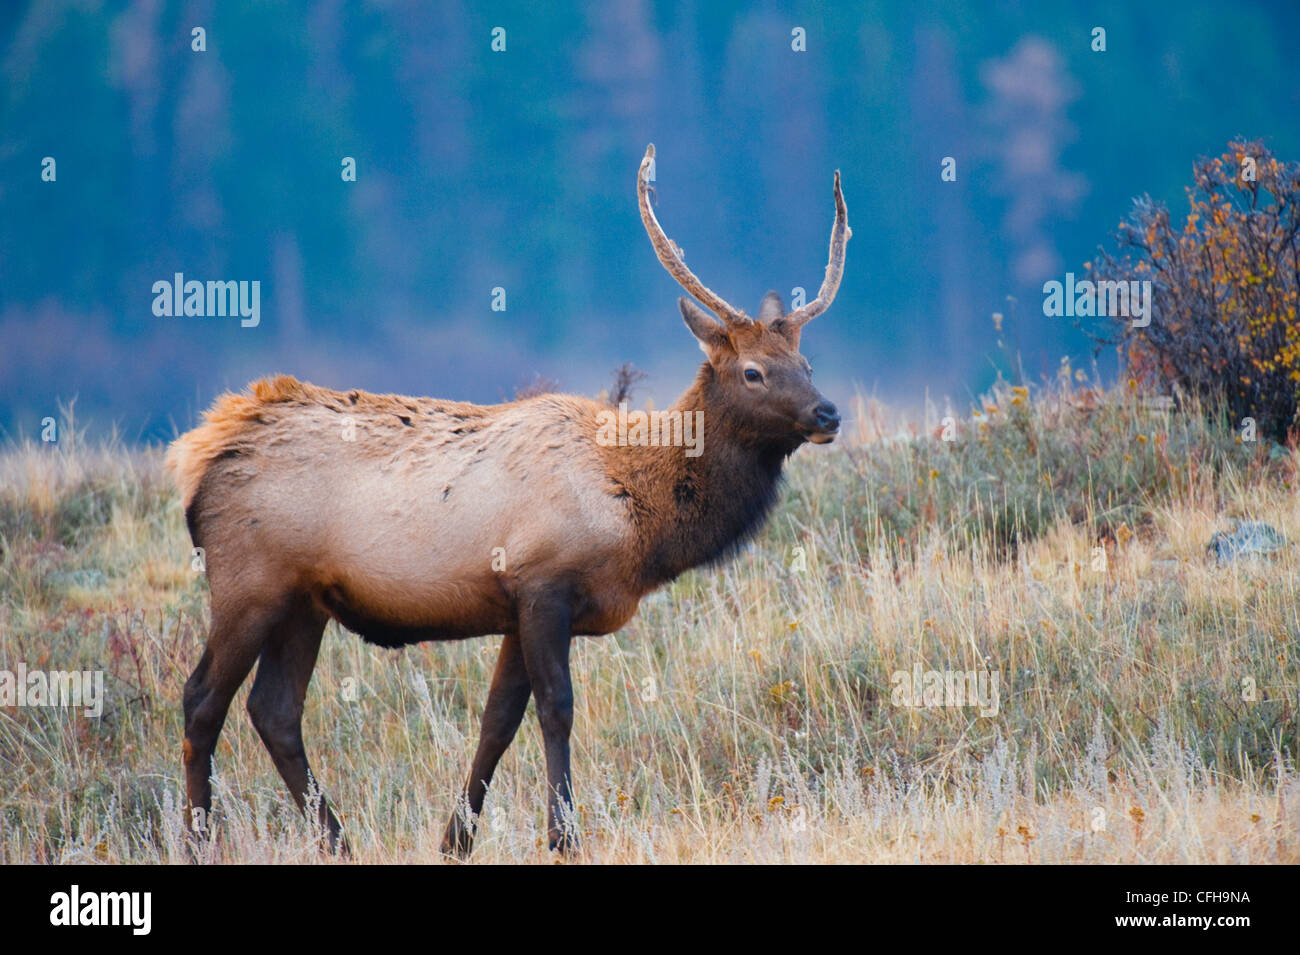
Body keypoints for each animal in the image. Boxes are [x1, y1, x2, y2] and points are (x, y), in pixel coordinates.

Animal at [168, 143, 849, 859]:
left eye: (807, 366)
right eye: (753, 371)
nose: (828, 413)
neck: (639, 515)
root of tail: (200, 453)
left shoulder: (516, 605)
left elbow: (498, 719)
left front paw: (456, 839)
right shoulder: (543, 583)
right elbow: (556, 709)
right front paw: (564, 836)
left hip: (304, 599)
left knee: (274, 710)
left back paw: (338, 841)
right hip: (249, 580)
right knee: (202, 700)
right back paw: (197, 841)